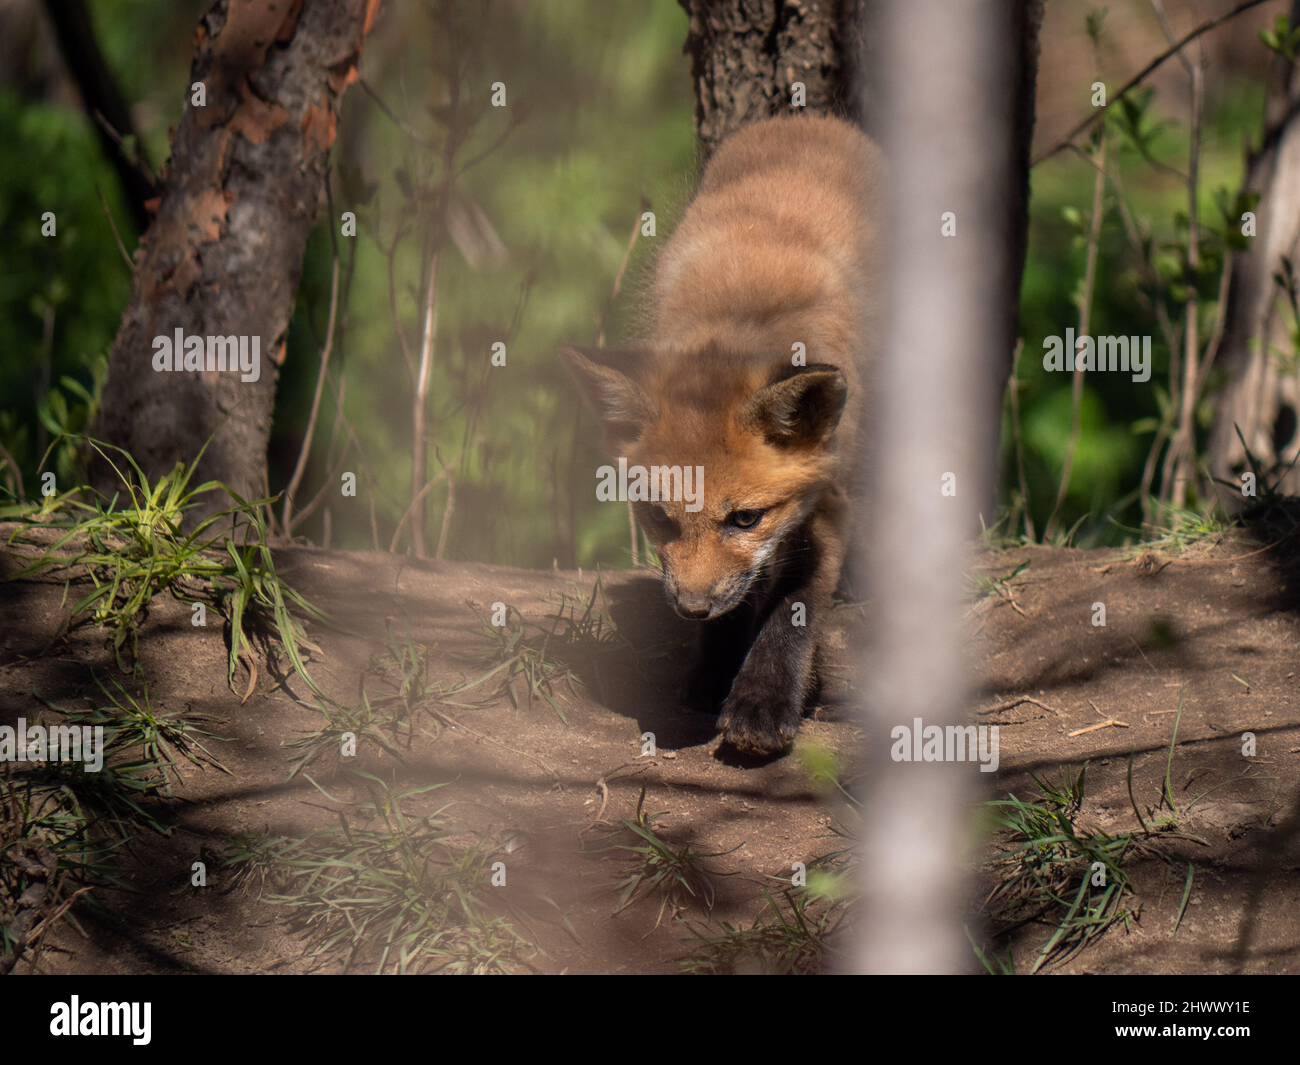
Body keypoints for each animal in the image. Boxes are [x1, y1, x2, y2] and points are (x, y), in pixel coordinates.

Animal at [563, 114, 881, 757]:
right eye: (657, 518)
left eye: (745, 518)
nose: (690, 608)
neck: (746, 314)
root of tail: (812, 120)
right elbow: (742, 594)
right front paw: (713, 672)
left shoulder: (826, 491)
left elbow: (795, 603)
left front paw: (763, 703)